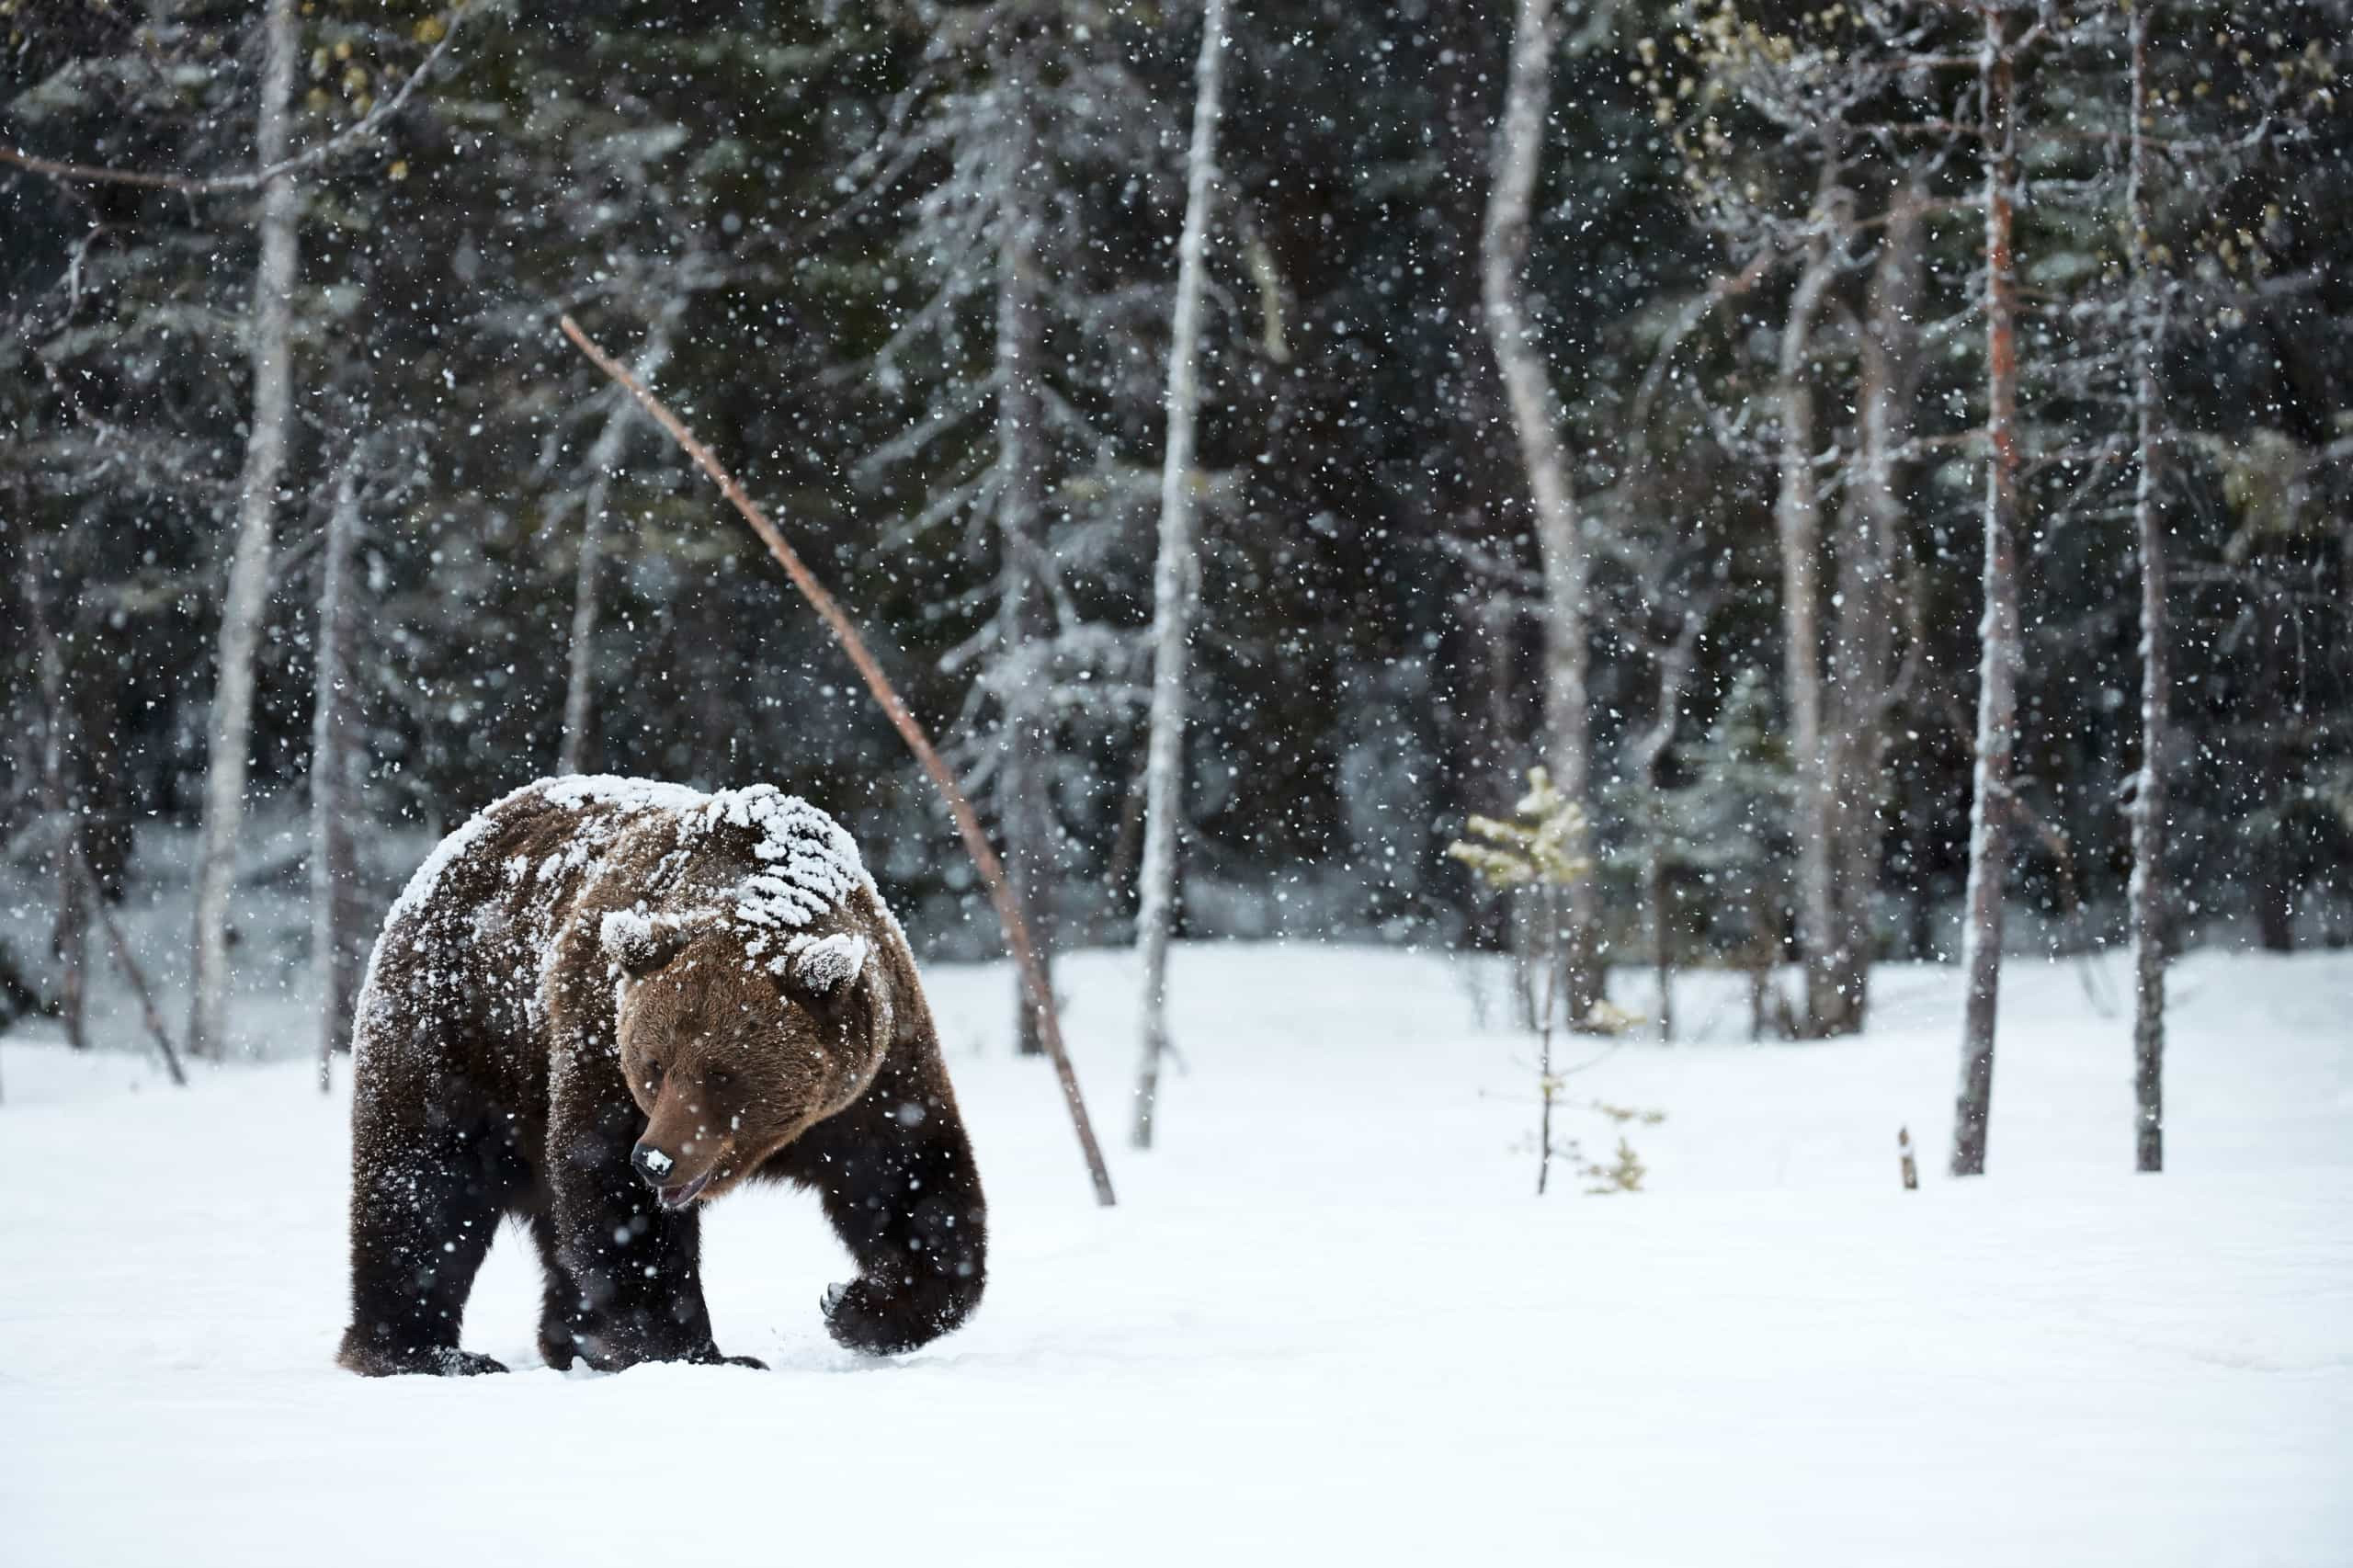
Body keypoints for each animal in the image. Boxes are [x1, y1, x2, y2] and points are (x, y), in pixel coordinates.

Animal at [336, 775, 985, 1376]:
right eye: (654, 1065)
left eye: (722, 1074)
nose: (655, 1160)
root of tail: (454, 845)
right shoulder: (598, 1037)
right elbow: (615, 1204)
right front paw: (695, 1352)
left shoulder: (872, 1076)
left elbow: (911, 1182)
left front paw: (855, 1305)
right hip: (459, 1035)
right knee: (426, 1187)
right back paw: (425, 1351)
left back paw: (571, 1340)